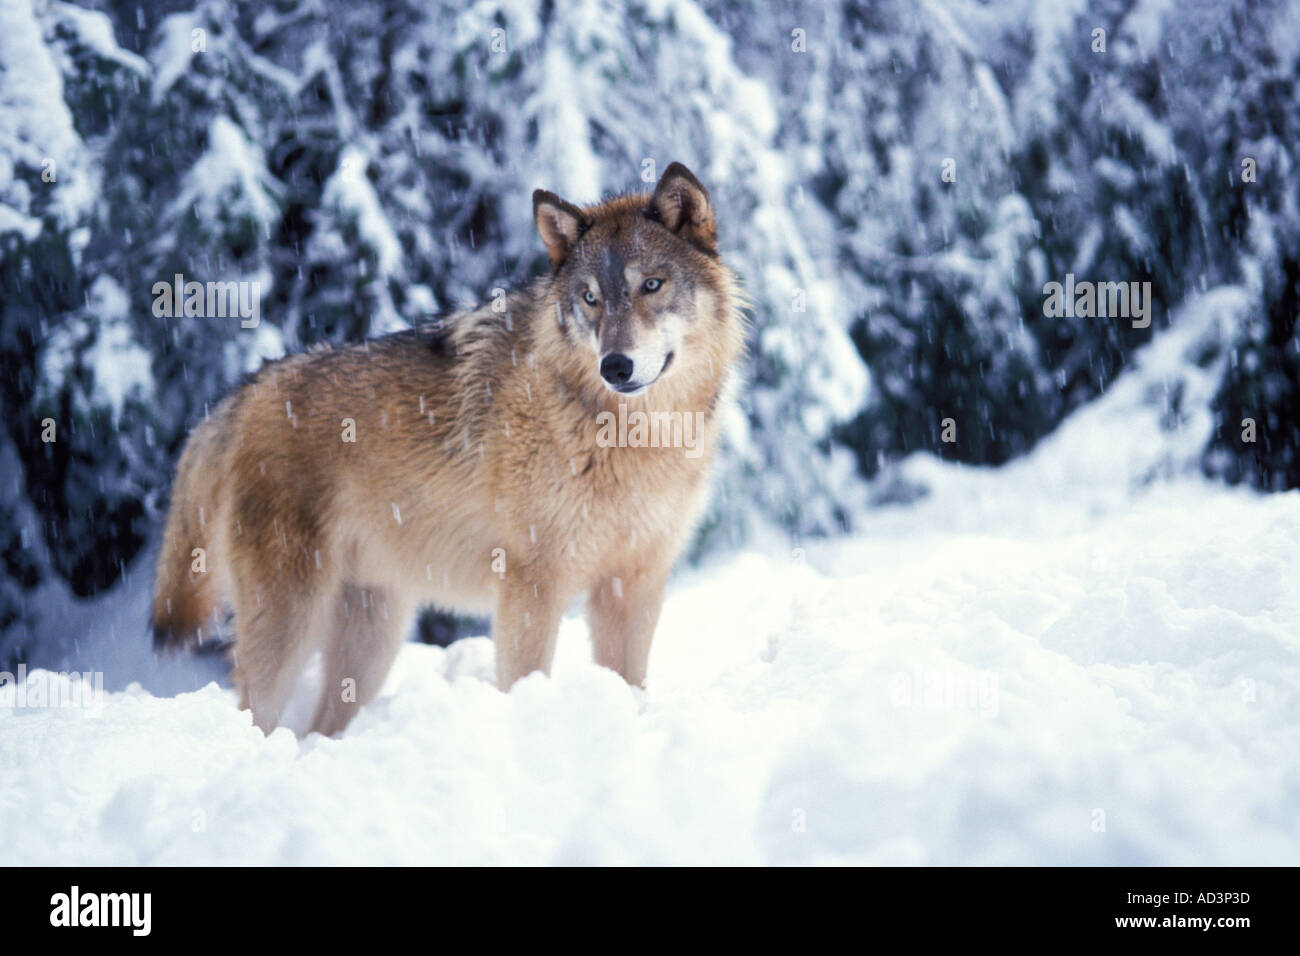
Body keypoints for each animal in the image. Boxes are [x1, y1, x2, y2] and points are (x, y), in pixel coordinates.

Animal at [151, 162, 746, 736]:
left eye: (652, 285)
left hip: (372, 638)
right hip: (290, 623)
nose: (615, 366)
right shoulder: (533, 585)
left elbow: (629, 682)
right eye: (590, 299)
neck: (631, 438)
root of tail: (244, 392)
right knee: (256, 711)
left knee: (317, 730)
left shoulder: (634, 584)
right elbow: (525, 677)